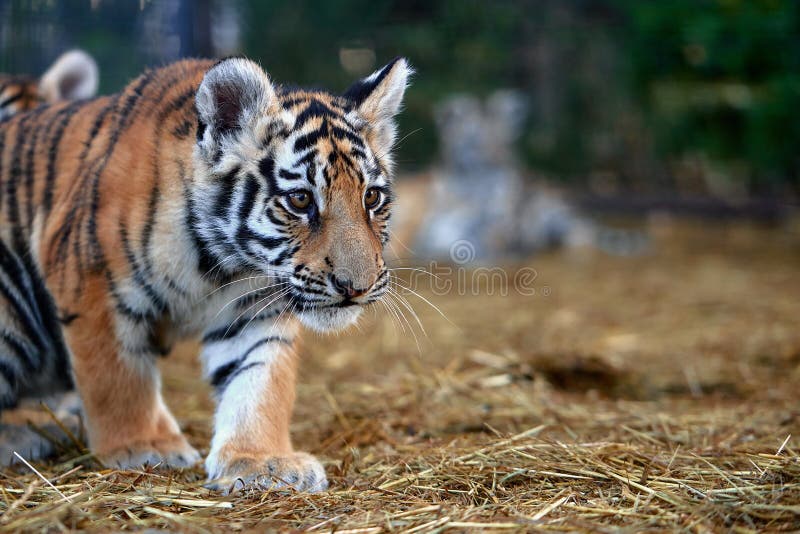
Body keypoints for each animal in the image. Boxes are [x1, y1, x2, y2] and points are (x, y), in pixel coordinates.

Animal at [0, 55, 411, 492]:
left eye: (372, 197)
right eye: (300, 200)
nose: (356, 287)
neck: (220, 261)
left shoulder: (254, 309)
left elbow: (260, 383)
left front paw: (262, 462)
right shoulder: (94, 286)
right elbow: (116, 377)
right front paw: (144, 447)